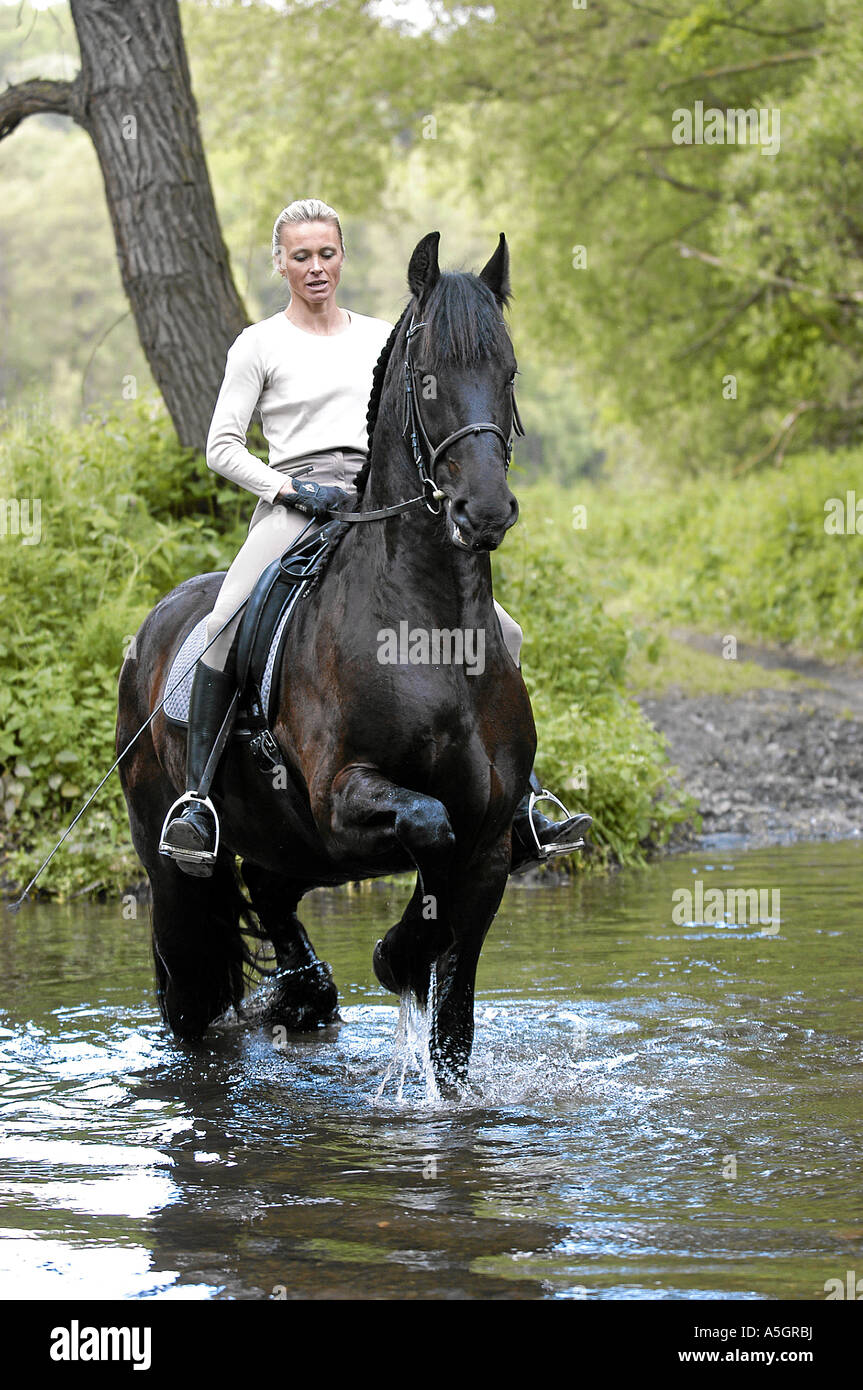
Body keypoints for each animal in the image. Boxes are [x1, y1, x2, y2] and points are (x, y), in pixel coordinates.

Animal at [116, 231, 536, 1093]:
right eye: (427, 376)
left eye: (507, 371)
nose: (483, 512)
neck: (430, 634)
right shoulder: (345, 803)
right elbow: (429, 825)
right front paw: (396, 955)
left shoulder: (490, 842)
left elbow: (454, 1019)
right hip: (176, 870)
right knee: (189, 1000)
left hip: (288, 845)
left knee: (270, 895)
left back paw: (306, 991)